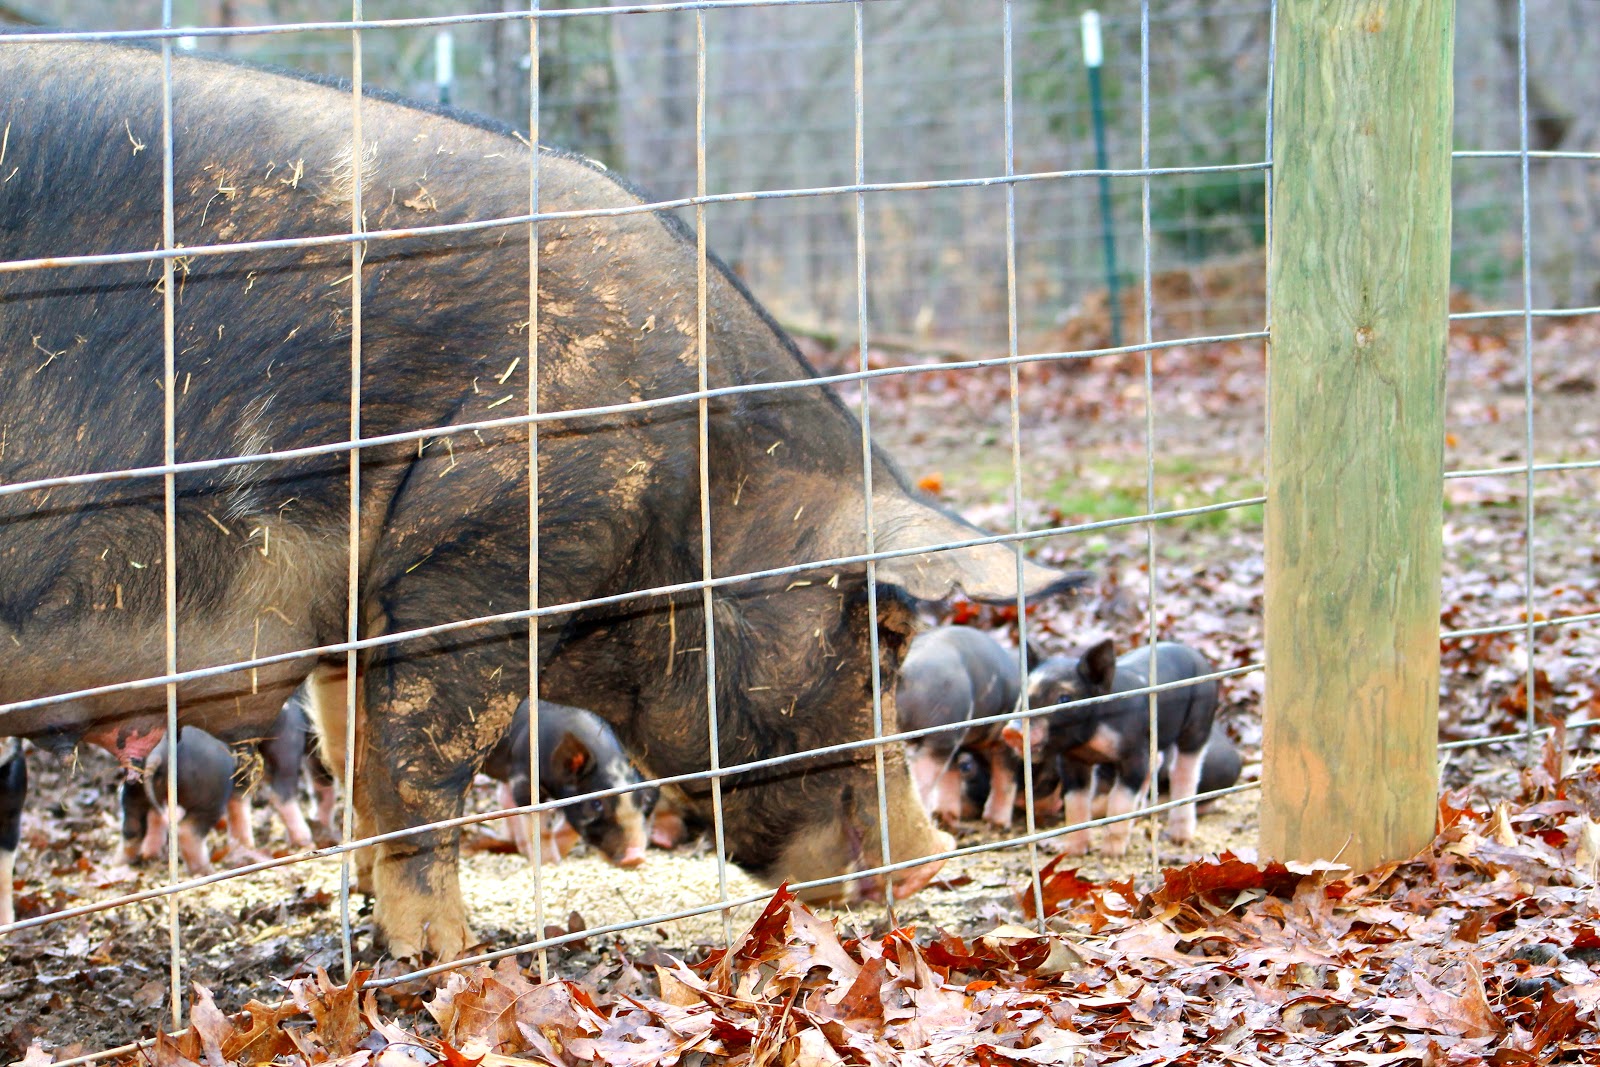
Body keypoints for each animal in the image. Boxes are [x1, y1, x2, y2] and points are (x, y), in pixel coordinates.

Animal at [480, 698, 656, 868]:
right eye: (596, 804)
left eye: (644, 800)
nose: (636, 857)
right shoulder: (523, 776)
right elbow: (540, 826)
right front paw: (550, 863)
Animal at [1004, 640, 1219, 855]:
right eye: (1023, 695)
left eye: (1064, 699)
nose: (1012, 731)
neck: (1093, 735)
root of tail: (1195, 654)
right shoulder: (1072, 760)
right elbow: (1075, 805)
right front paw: (1072, 851)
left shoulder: (1134, 754)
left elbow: (1119, 803)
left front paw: (1110, 854)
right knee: (1156, 762)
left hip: (1200, 721)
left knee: (1184, 773)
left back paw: (1180, 839)